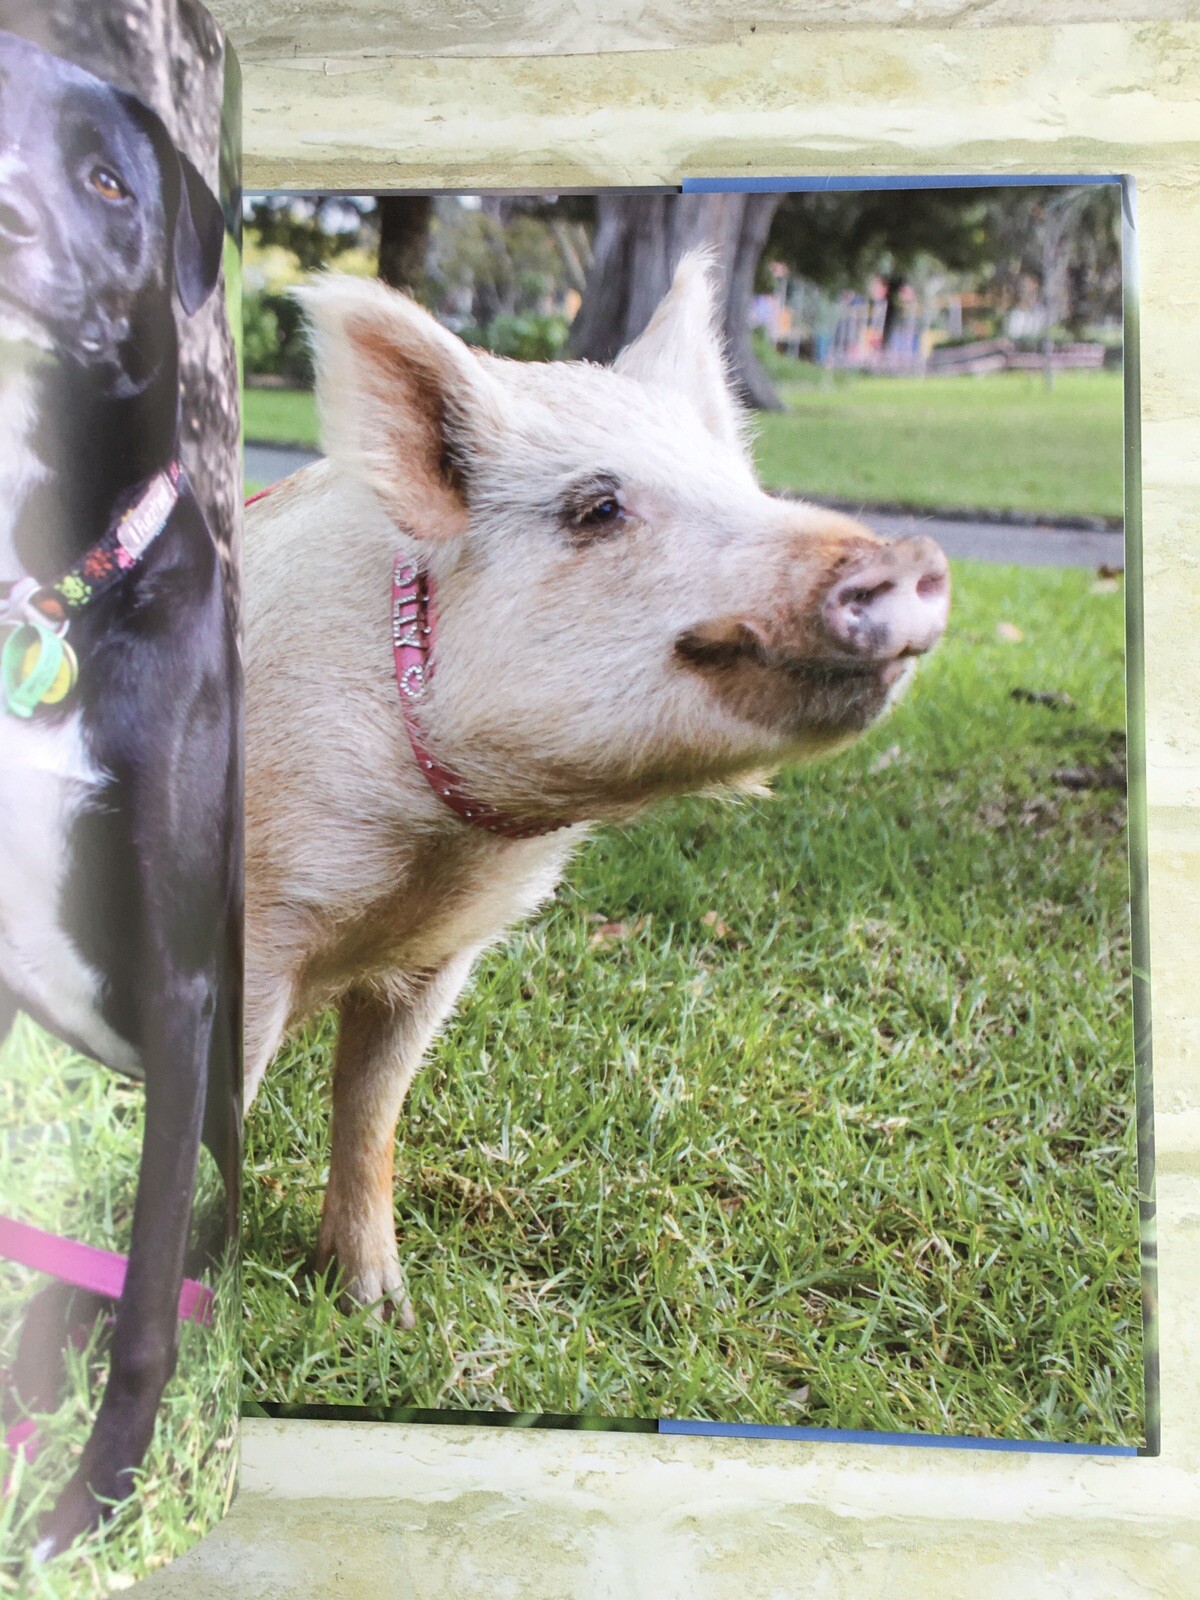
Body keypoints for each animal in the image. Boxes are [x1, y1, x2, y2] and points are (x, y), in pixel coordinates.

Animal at [244, 252, 949, 1323]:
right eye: (598, 509)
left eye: (742, 482)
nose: (908, 558)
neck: (435, 855)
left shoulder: (440, 958)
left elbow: (372, 1109)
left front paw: (383, 1310)